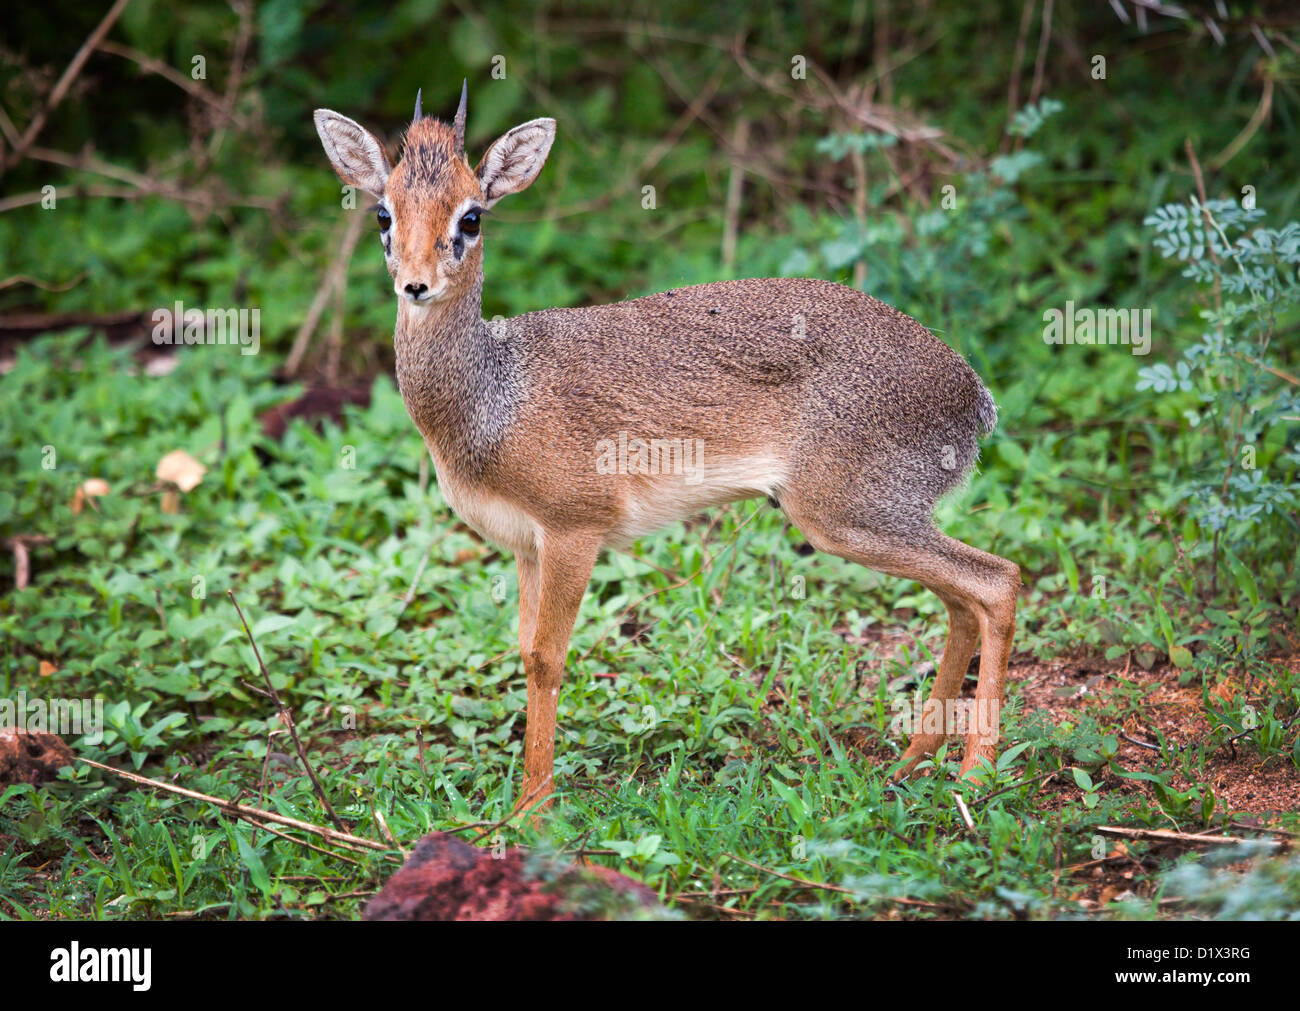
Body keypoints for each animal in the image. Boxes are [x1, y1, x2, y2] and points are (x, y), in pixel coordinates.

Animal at [313, 85, 1020, 811]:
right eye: (382, 212)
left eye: (472, 215)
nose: (416, 284)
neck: (493, 396)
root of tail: (973, 395)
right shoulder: (524, 545)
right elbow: (524, 652)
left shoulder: (573, 531)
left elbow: (547, 657)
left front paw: (531, 811)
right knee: (962, 602)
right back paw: (914, 760)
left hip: (847, 517)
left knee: (997, 581)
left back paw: (975, 773)